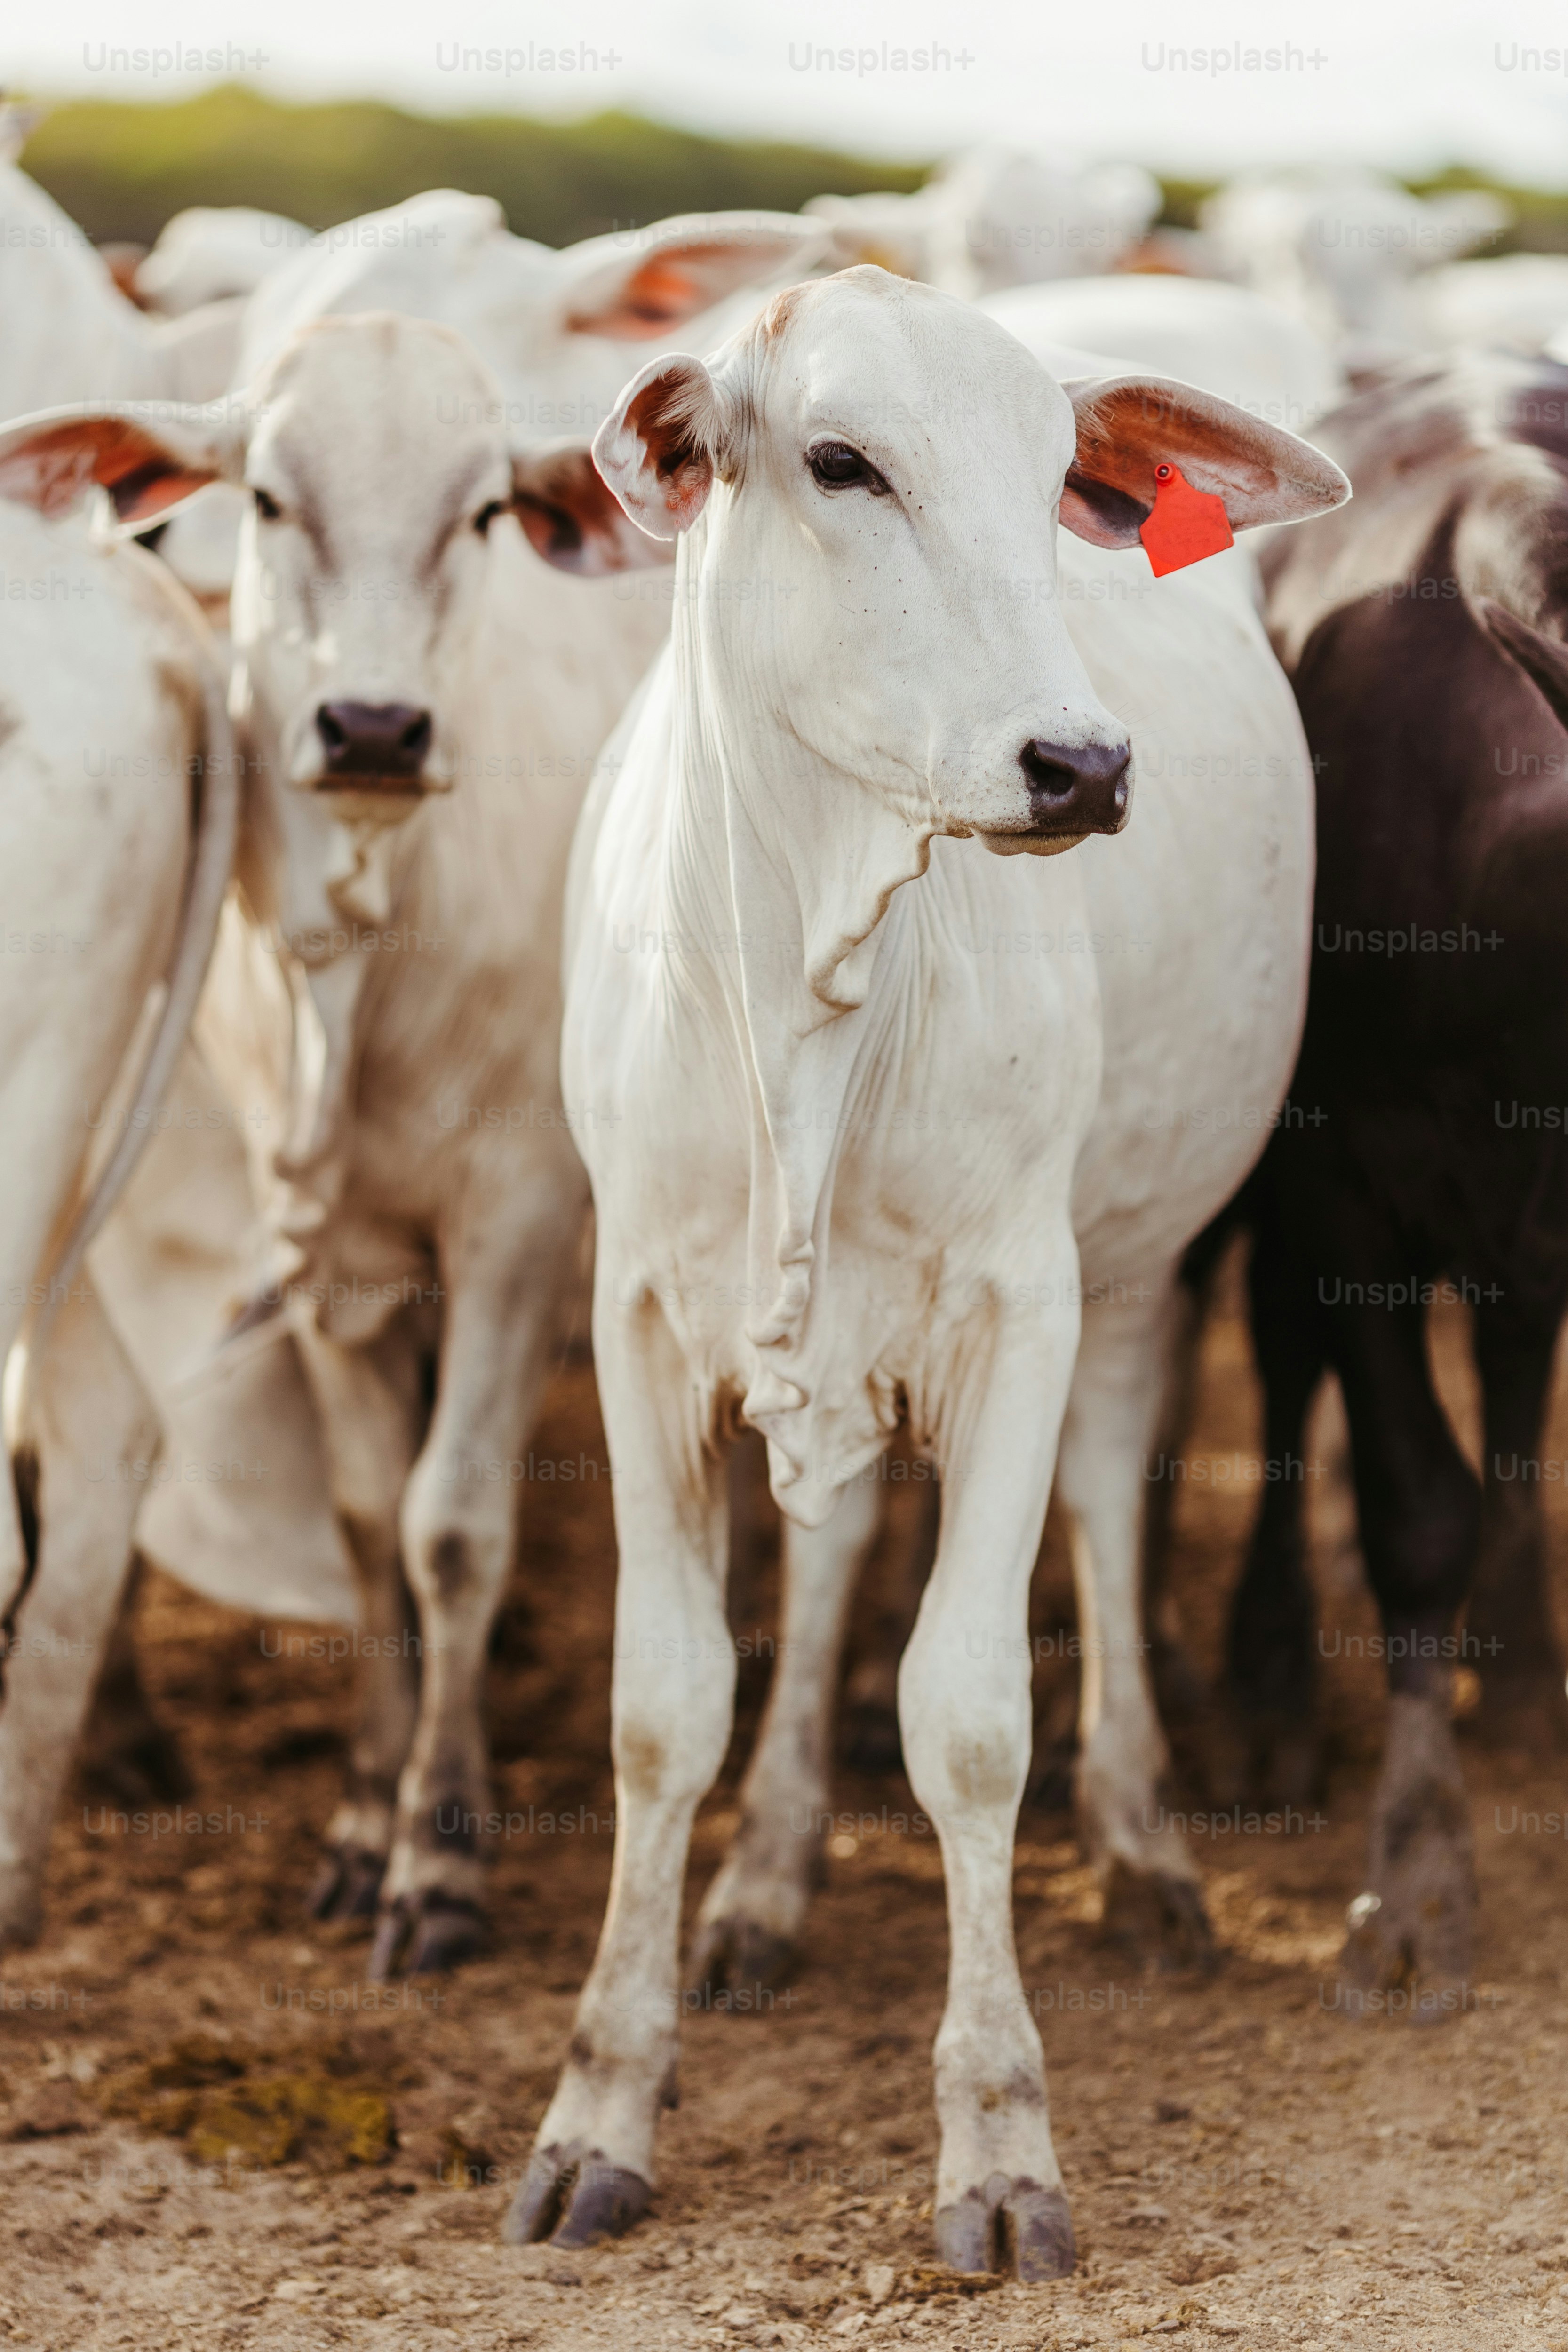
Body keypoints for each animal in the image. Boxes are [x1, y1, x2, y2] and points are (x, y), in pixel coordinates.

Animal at [502, 267, 1347, 2266]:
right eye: (841, 462)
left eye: (1059, 480)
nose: (1082, 765)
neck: (814, 967)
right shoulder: (642, 1316)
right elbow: (665, 1708)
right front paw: (599, 2105)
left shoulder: (1019, 1306)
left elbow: (968, 1715)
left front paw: (1000, 2142)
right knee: (822, 1573)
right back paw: (771, 1872)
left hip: (1130, 1270)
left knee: (1108, 1502)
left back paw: (1144, 1843)